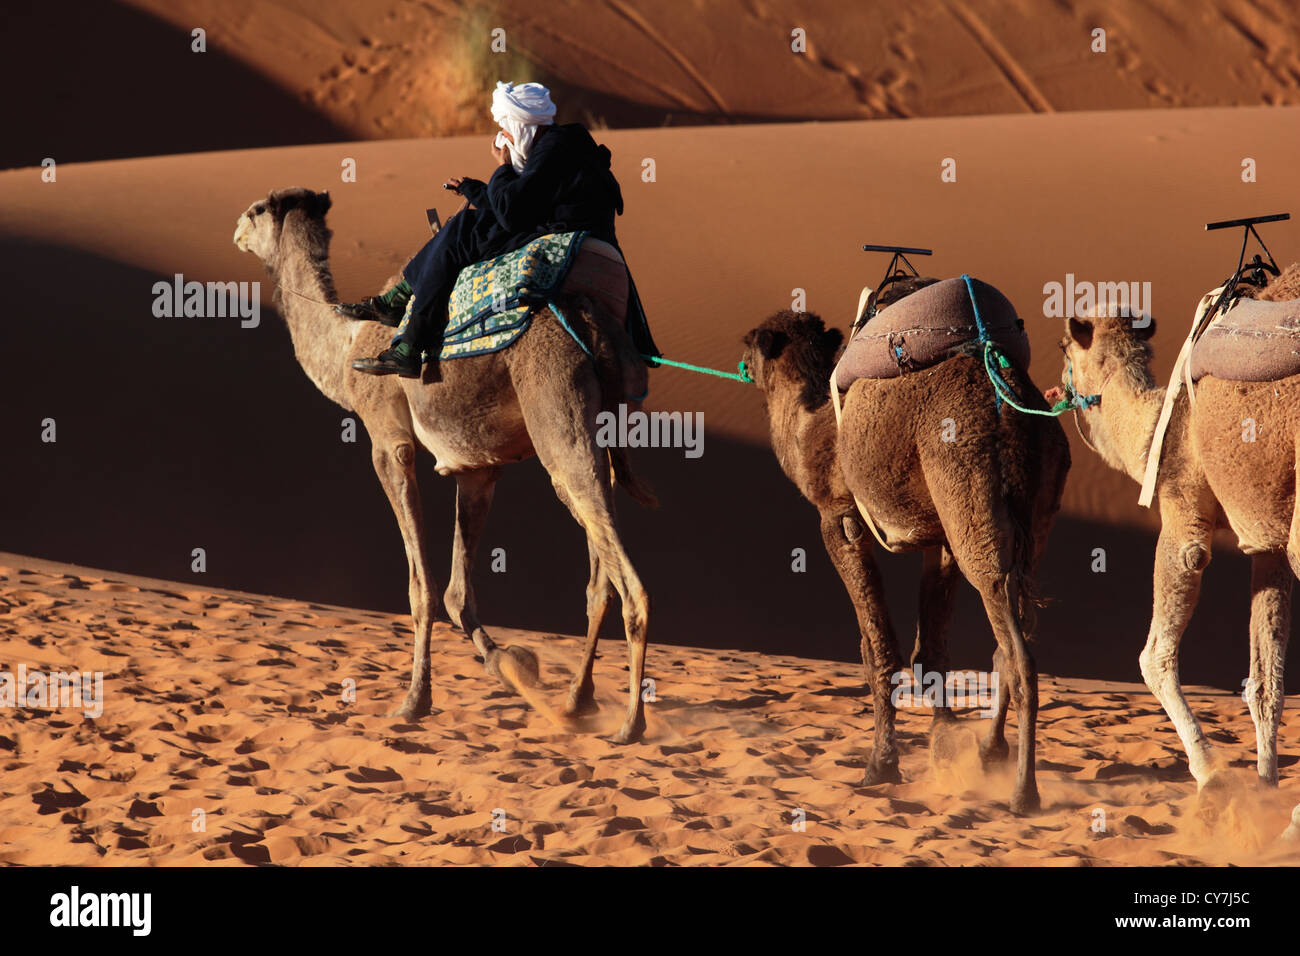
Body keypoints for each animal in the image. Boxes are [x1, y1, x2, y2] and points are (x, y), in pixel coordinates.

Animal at [232, 186, 654, 743]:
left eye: (258, 210)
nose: (236, 228)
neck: (346, 349)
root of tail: (592, 325)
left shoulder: (388, 441)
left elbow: (423, 588)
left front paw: (414, 701)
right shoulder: (476, 466)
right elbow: (457, 593)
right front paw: (511, 663)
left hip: (556, 406)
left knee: (627, 578)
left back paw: (630, 723)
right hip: (600, 429)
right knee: (597, 566)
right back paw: (574, 701)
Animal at [742, 294, 1070, 815]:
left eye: (752, 342)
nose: (741, 360)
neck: (807, 424)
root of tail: (1012, 413)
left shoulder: (838, 517)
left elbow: (877, 649)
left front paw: (880, 767)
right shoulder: (937, 535)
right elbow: (929, 648)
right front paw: (944, 742)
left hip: (969, 487)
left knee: (1018, 655)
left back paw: (1023, 793)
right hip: (1026, 515)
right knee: (1004, 642)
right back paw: (989, 752)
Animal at [1057, 266, 1300, 839]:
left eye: (1062, 346)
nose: (1054, 387)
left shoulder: (1183, 502)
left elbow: (1155, 654)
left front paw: (1213, 775)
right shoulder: (1267, 535)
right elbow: (1266, 681)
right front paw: (1263, 795)